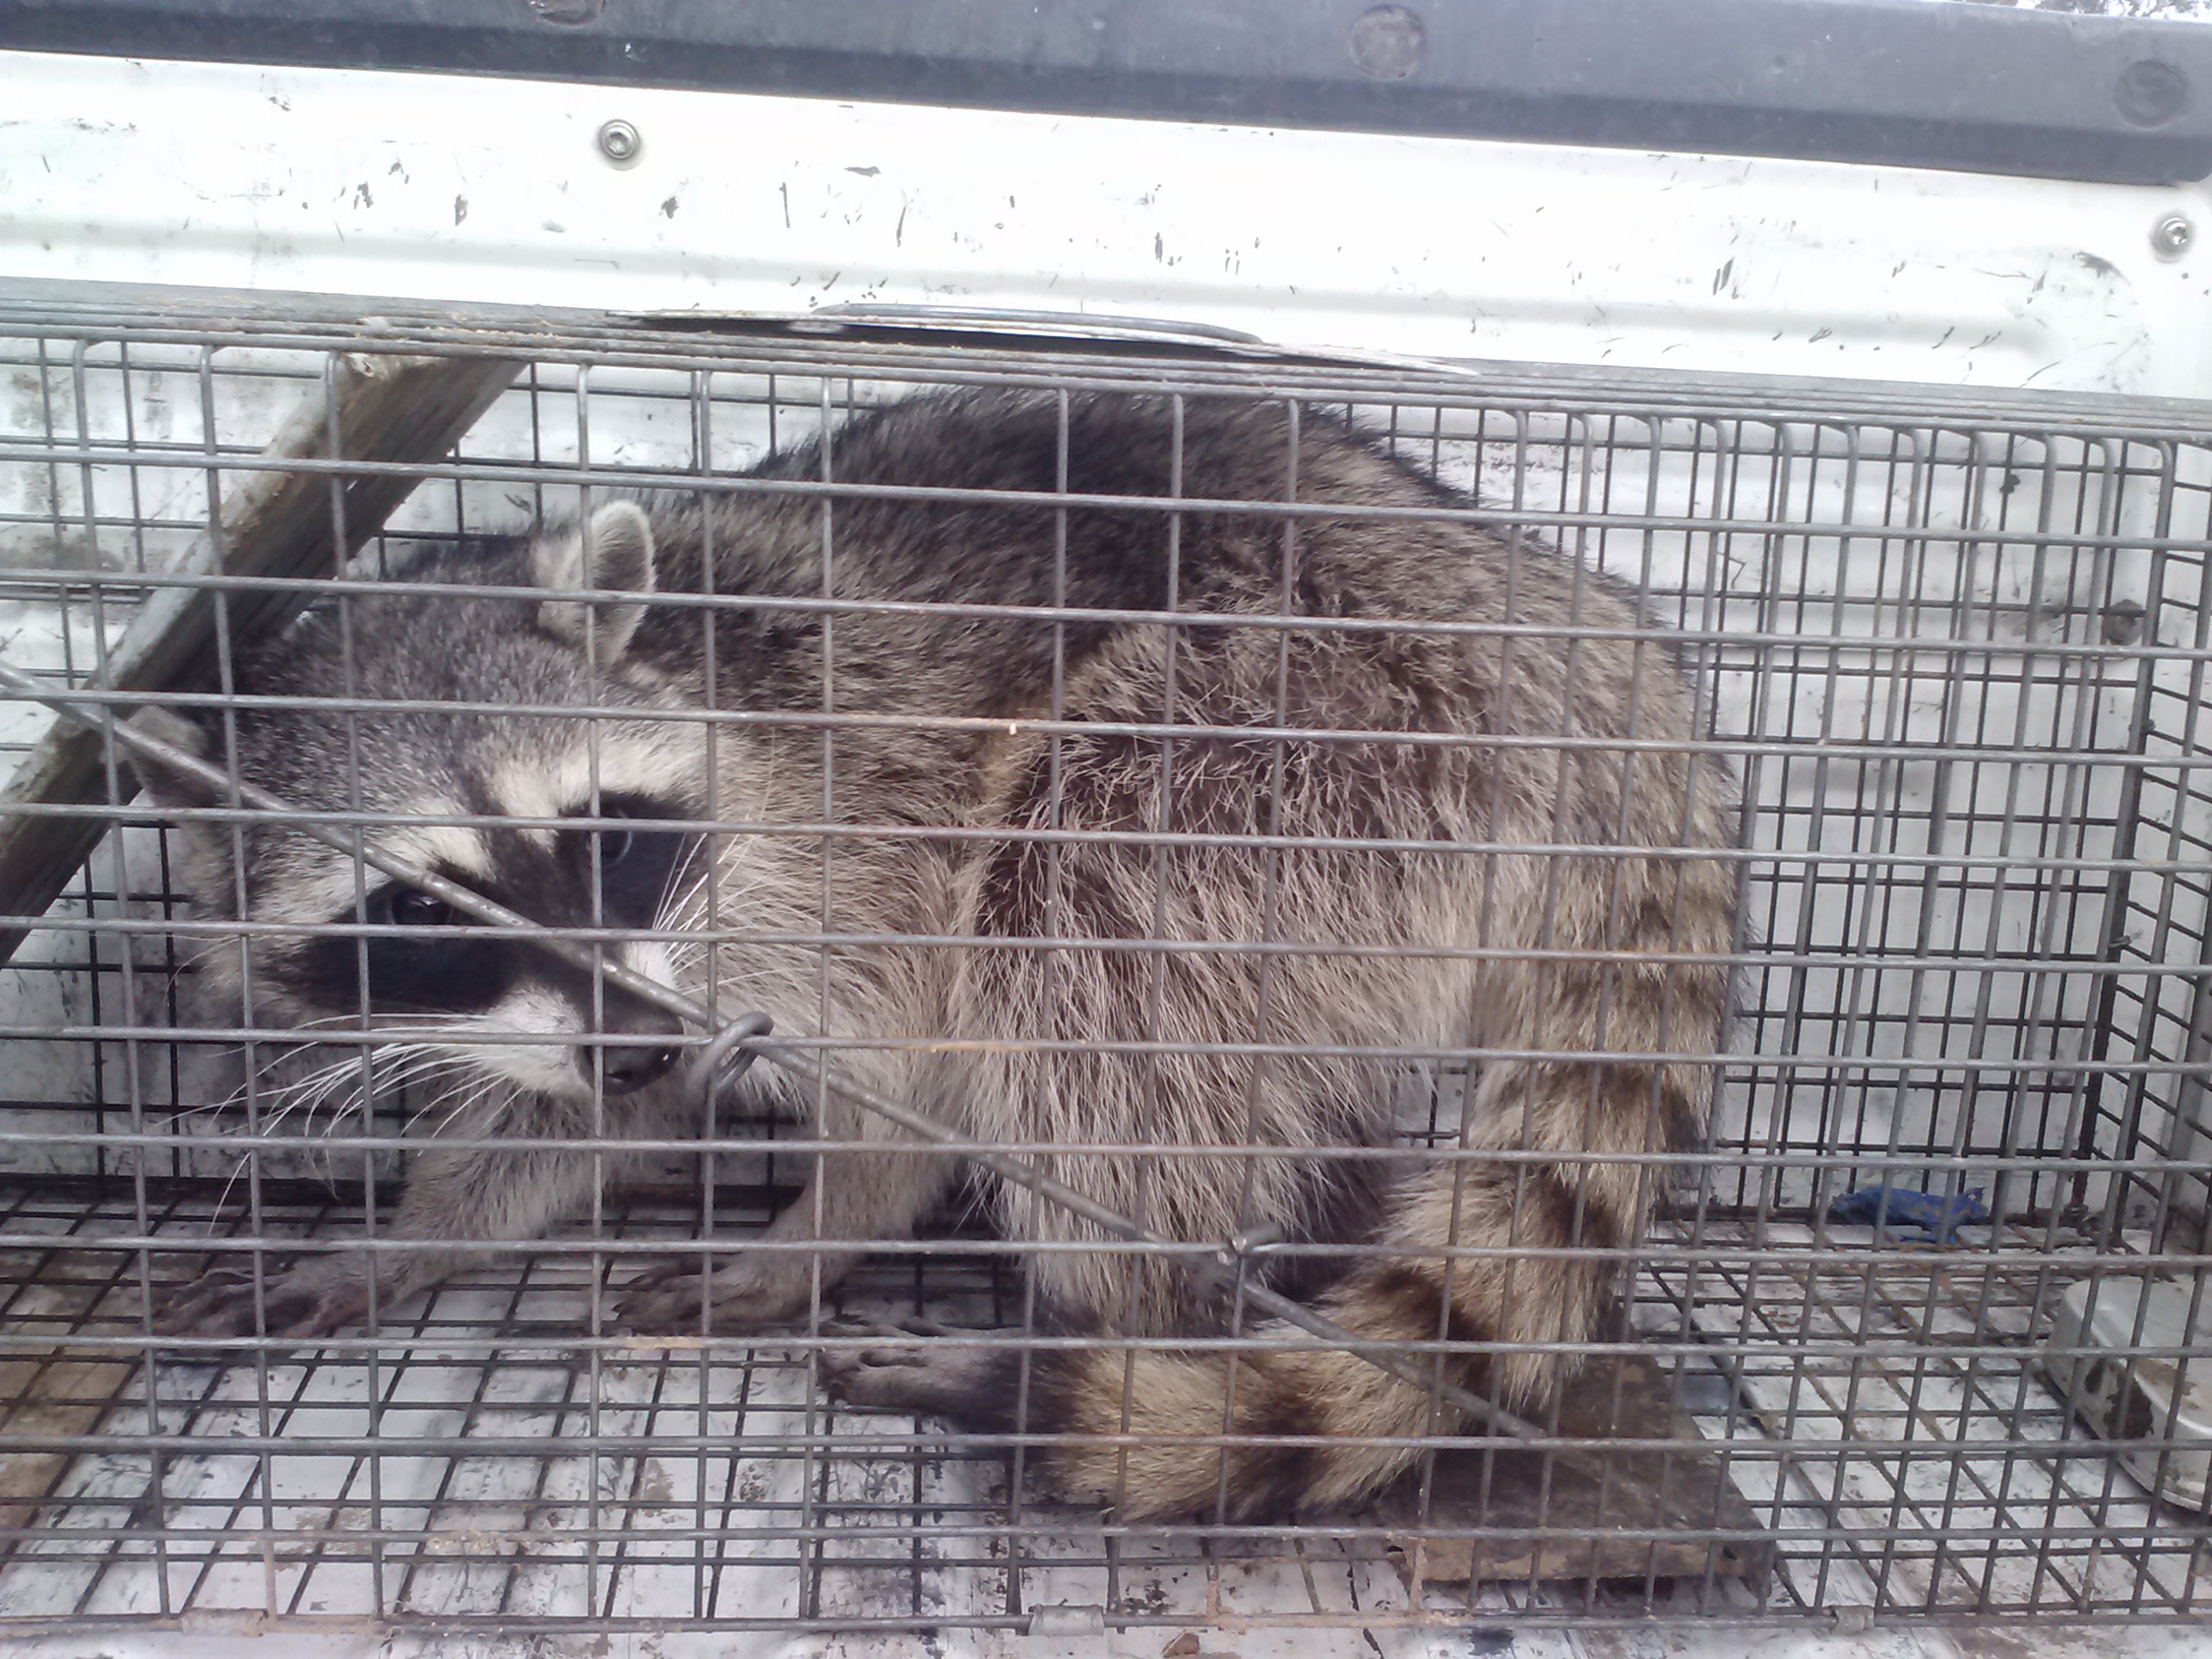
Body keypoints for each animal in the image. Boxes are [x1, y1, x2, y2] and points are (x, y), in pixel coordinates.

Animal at [143, 387, 1736, 1521]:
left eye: (598, 838)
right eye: (418, 913)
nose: (644, 1040)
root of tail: (1594, 648)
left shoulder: (841, 838)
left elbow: (915, 1069)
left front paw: (822, 1223)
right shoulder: (629, 983)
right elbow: (578, 1109)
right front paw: (412, 1229)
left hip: (1311, 711)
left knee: (1074, 939)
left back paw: (1127, 1328)